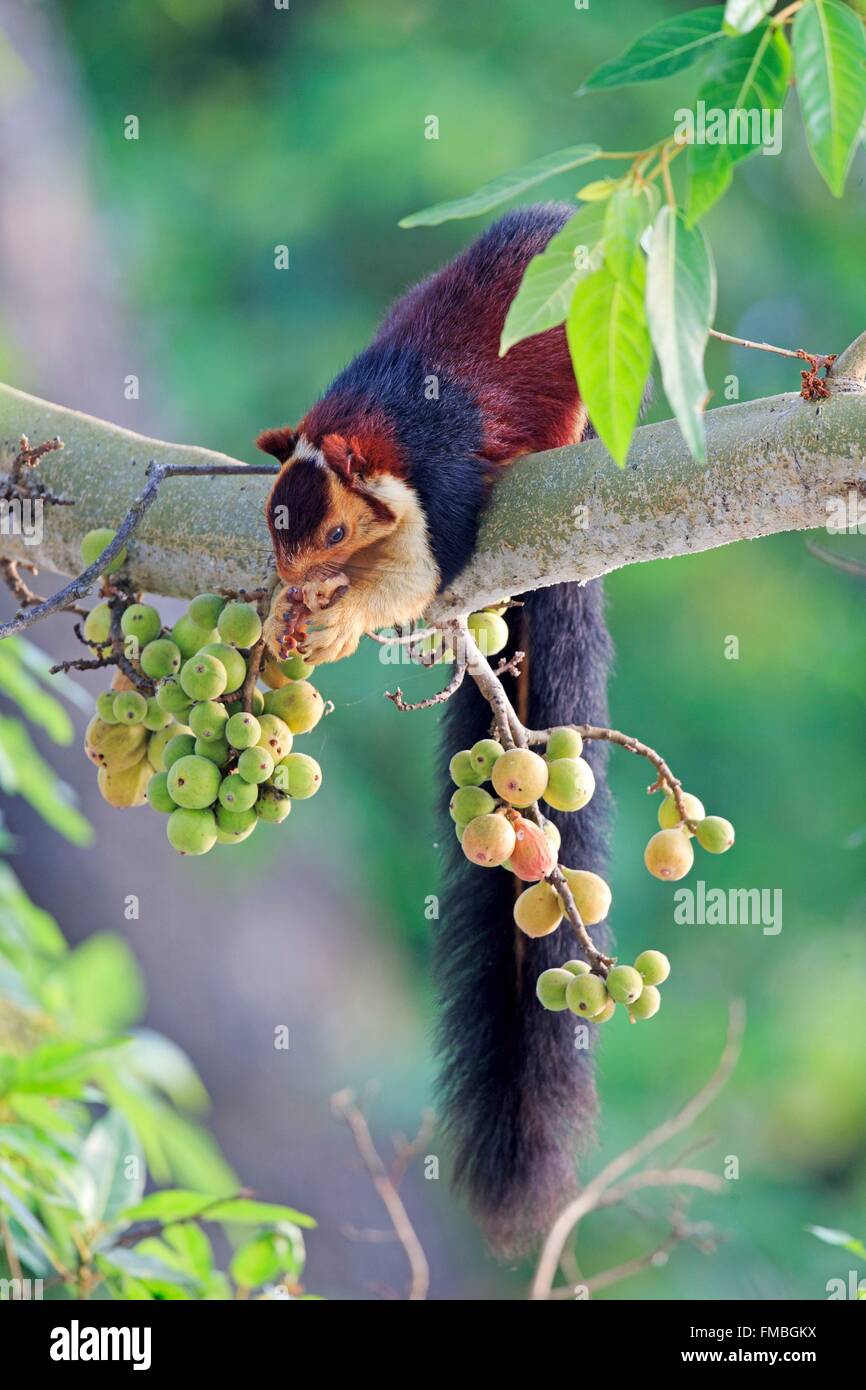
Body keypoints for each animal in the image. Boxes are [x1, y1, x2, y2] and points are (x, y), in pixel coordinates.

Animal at [258, 203, 611, 1251]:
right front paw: (295, 612)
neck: (372, 421)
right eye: (272, 522)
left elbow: (425, 570)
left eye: (334, 532)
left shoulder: (445, 485)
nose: (296, 582)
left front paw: (342, 617)